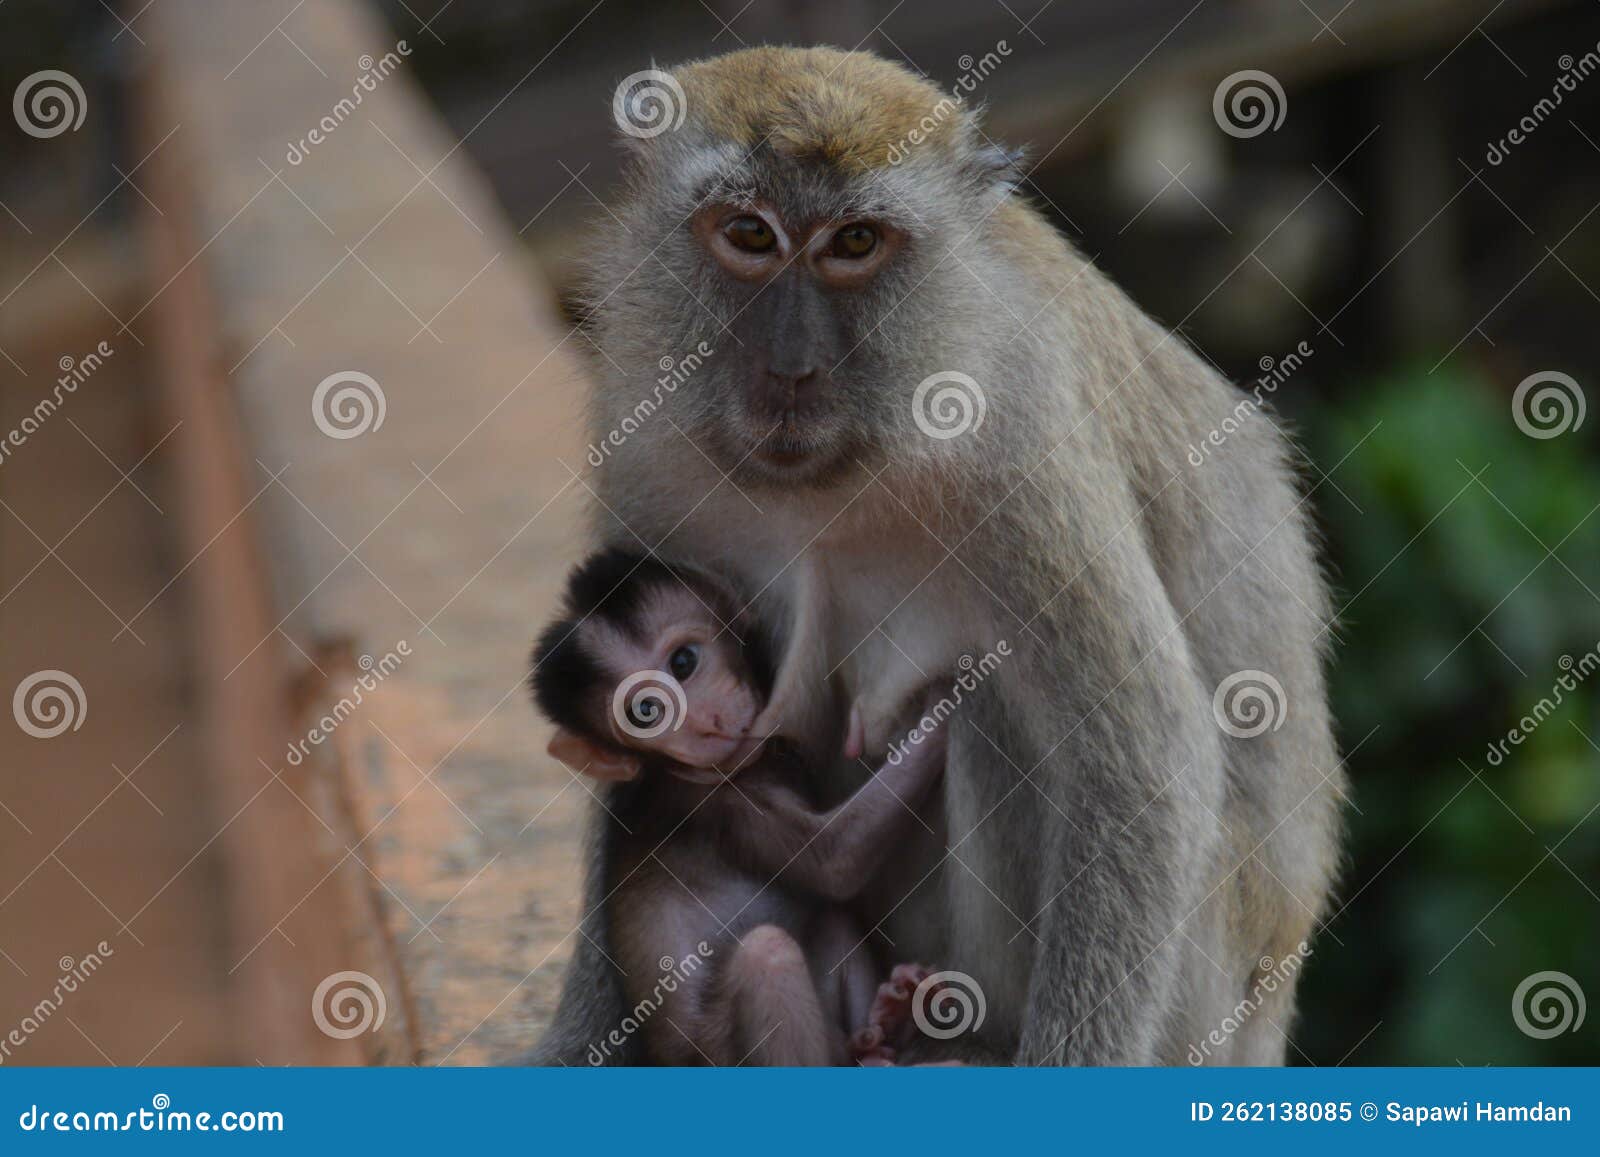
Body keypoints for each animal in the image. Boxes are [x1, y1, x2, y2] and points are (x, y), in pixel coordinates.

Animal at [530, 546, 951, 1065]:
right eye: (645, 712)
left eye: (684, 661)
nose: (702, 723)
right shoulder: (715, 804)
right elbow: (834, 861)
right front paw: (940, 711)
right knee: (766, 954)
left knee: (830, 922)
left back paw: (883, 1026)